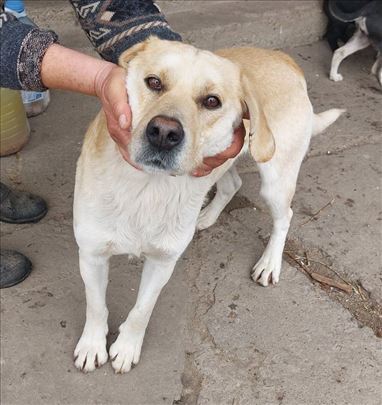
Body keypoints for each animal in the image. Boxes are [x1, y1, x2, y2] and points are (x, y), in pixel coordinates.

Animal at [72, 38, 344, 372]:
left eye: (212, 101)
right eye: (154, 82)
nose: (164, 132)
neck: (148, 188)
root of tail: (284, 59)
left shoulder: (162, 263)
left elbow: (141, 311)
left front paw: (126, 347)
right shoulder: (92, 255)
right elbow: (96, 306)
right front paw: (92, 345)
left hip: (276, 181)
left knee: (285, 216)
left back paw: (269, 263)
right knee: (232, 185)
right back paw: (206, 217)